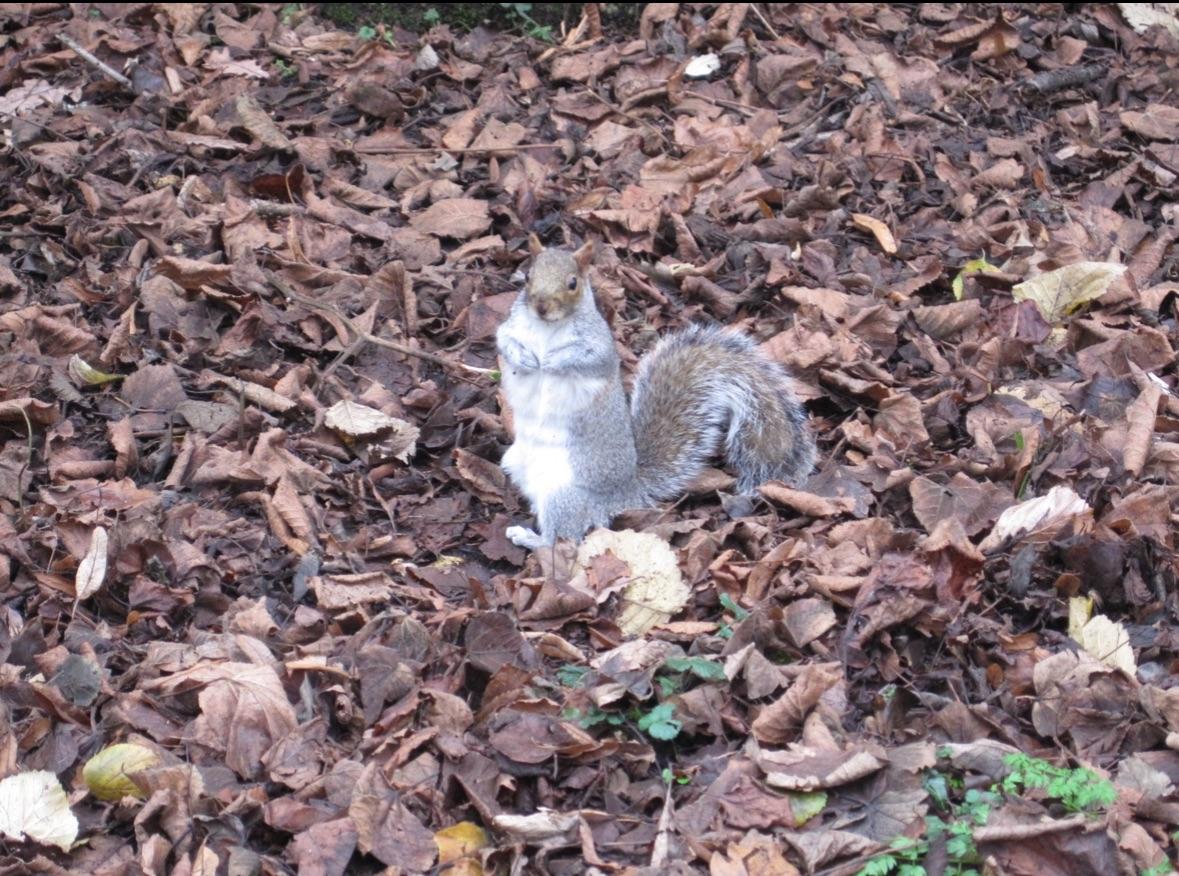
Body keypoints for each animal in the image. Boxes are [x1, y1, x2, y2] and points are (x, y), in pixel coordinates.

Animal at [495, 237, 816, 549]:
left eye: (572, 283)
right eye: (528, 276)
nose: (541, 307)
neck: (547, 329)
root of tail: (626, 492)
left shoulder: (598, 346)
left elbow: (587, 360)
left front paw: (552, 361)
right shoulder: (511, 327)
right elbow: (503, 340)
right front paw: (524, 358)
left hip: (564, 496)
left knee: (563, 540)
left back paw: (531, 538)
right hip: (513, 464)